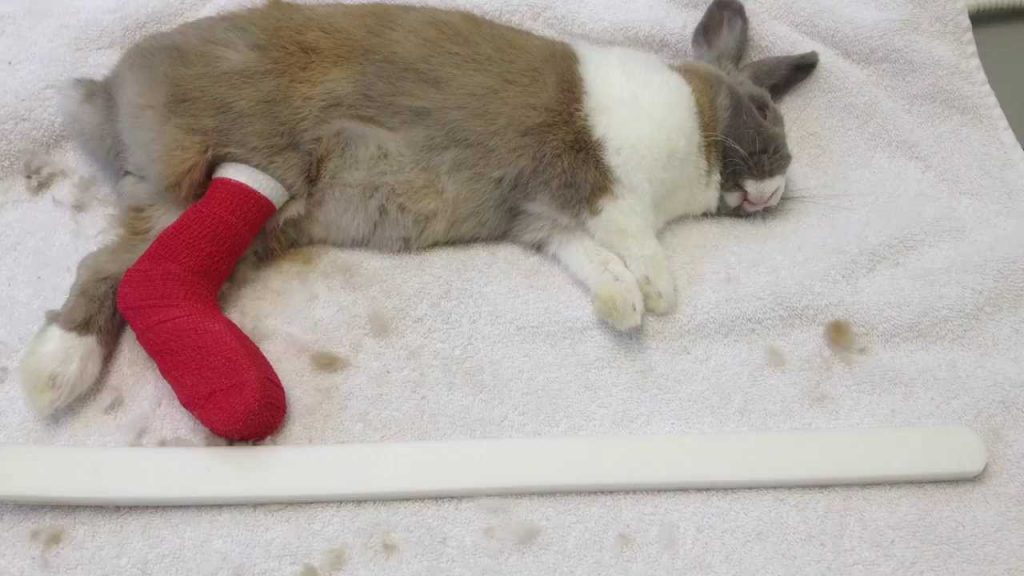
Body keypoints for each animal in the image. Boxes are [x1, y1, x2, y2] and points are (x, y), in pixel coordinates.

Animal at [20, 0, 817, 415]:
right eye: (763, 111)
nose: (780, 187)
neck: (695, 117)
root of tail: (110, 93)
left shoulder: (546, 221)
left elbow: (591, 261)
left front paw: (621, 307)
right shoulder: (597, 180)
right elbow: (631, 237)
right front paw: (657, 291)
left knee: (121, 266)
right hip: (217, 177)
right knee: (110, 269)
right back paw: (55, 371)